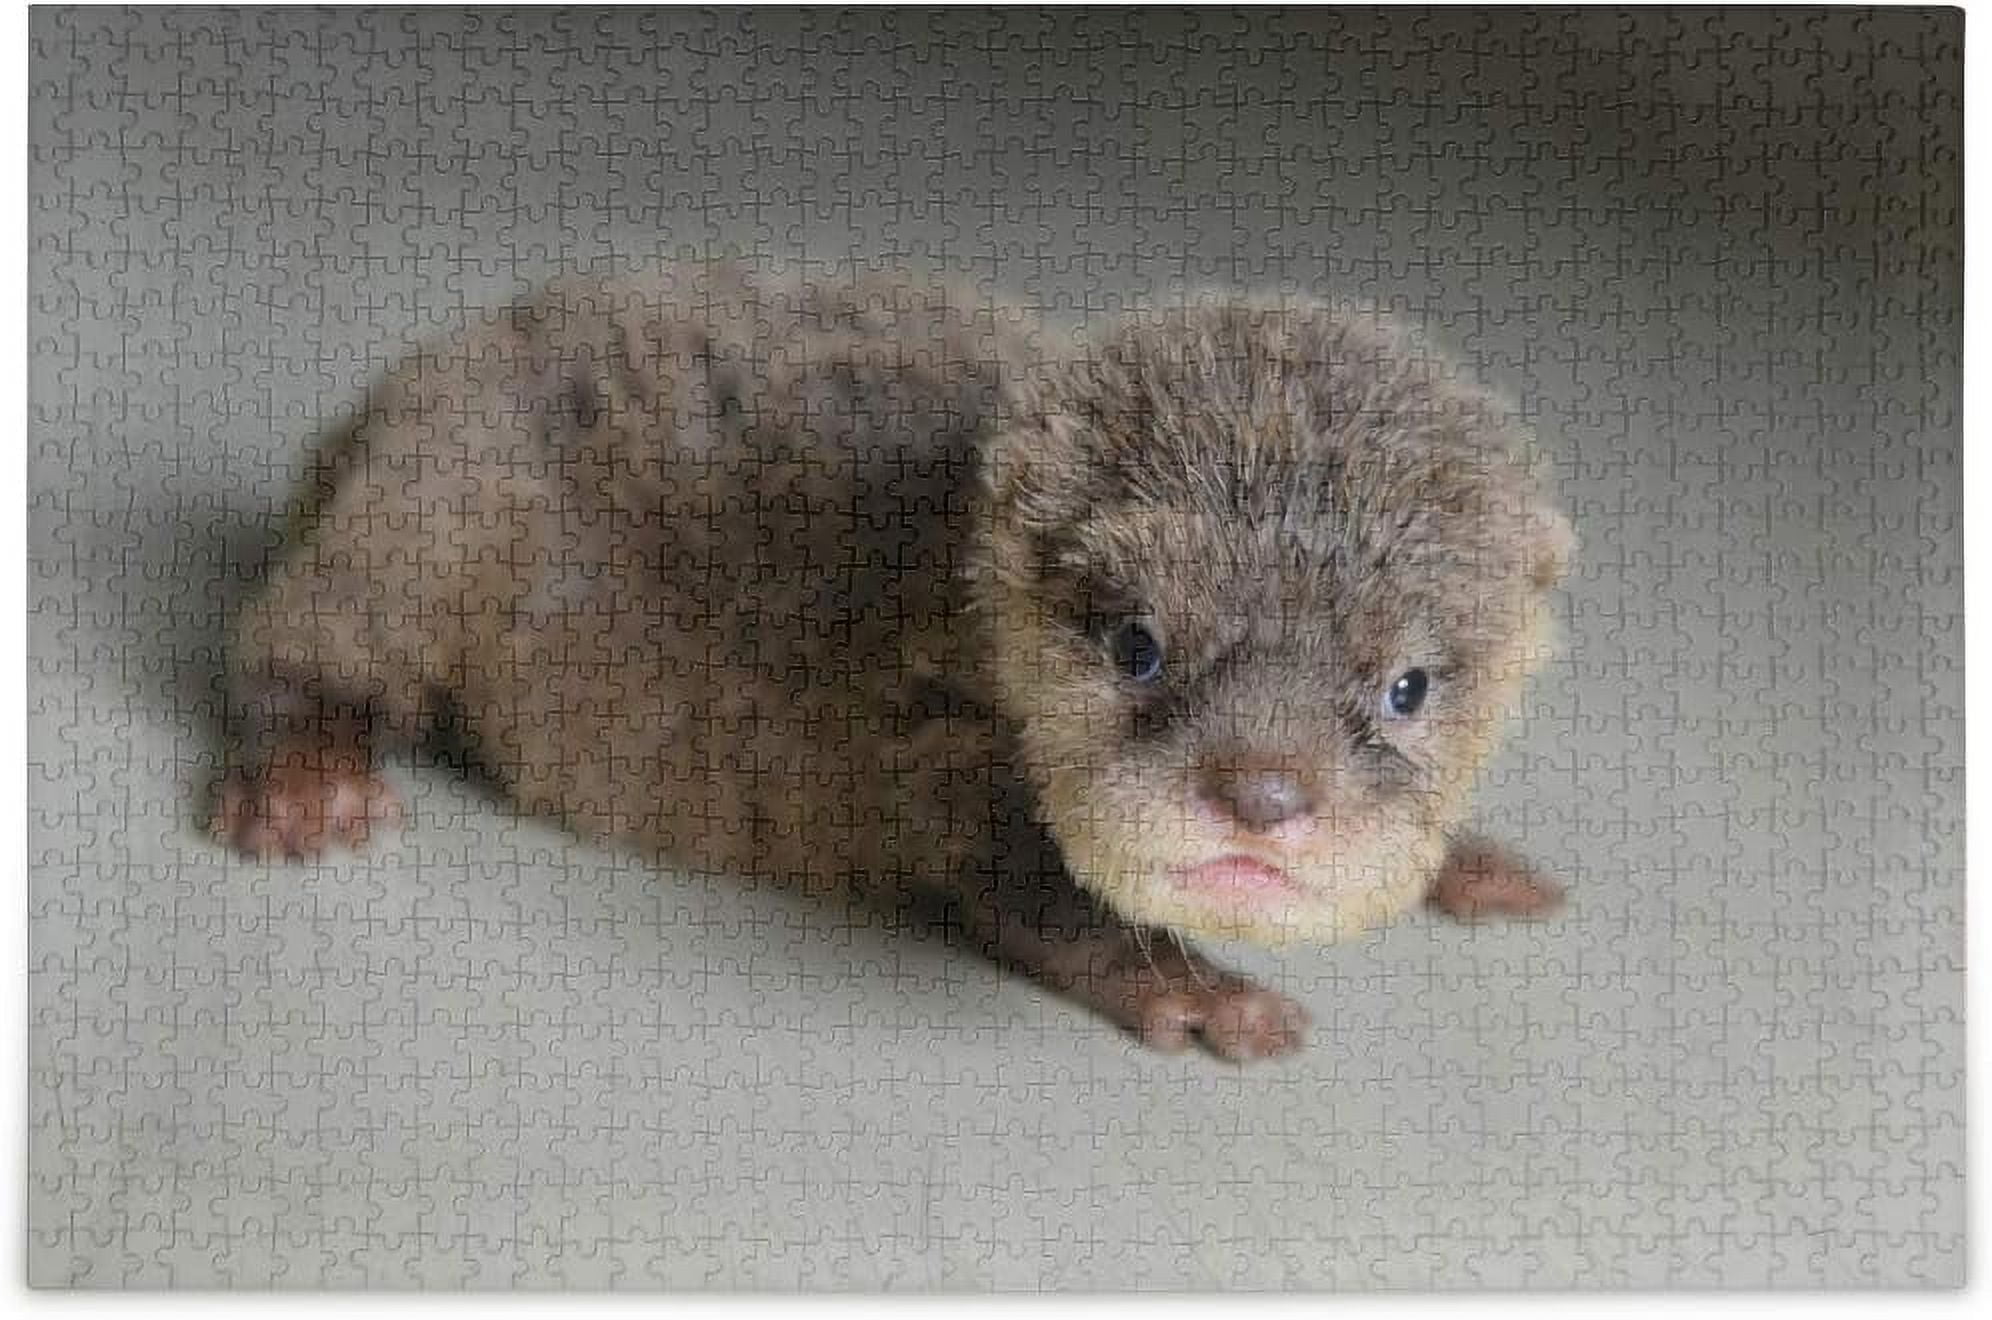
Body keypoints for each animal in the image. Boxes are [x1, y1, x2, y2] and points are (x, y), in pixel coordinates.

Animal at [210, 263, 1573, 1060]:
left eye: (1407, 687)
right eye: (1136, 646)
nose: (1264, 796)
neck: (956, 579)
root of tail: (379, 407)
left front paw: (1469, 861)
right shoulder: (941, 746)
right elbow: (1027, 898)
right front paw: (1198, 989)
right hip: (431, 518)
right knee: (284, 644)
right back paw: (306, 775)